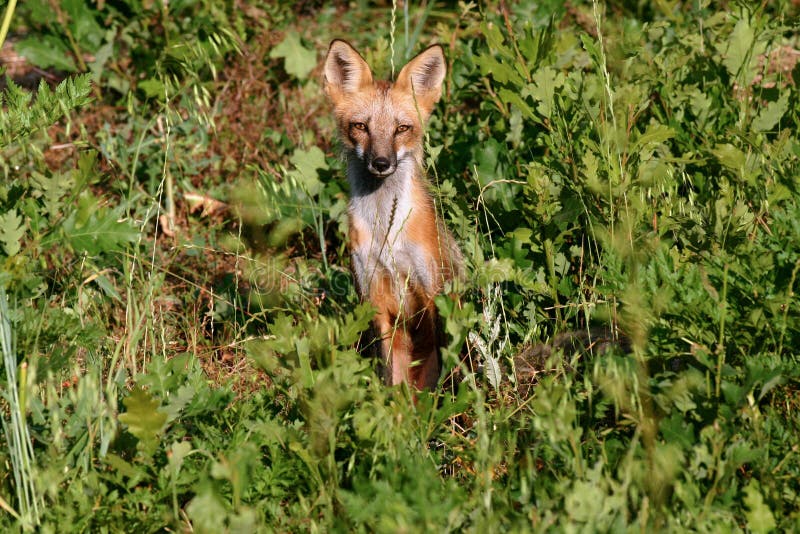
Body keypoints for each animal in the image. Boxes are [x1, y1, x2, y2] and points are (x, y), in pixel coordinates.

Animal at [323, 39, 461, 391]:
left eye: (401, 128)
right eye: (361, 126)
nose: (382, 163)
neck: (387, 234)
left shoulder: (432, 294)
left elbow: (438, 369)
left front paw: (440, 404)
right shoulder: (374, 296)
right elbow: (387, 374)